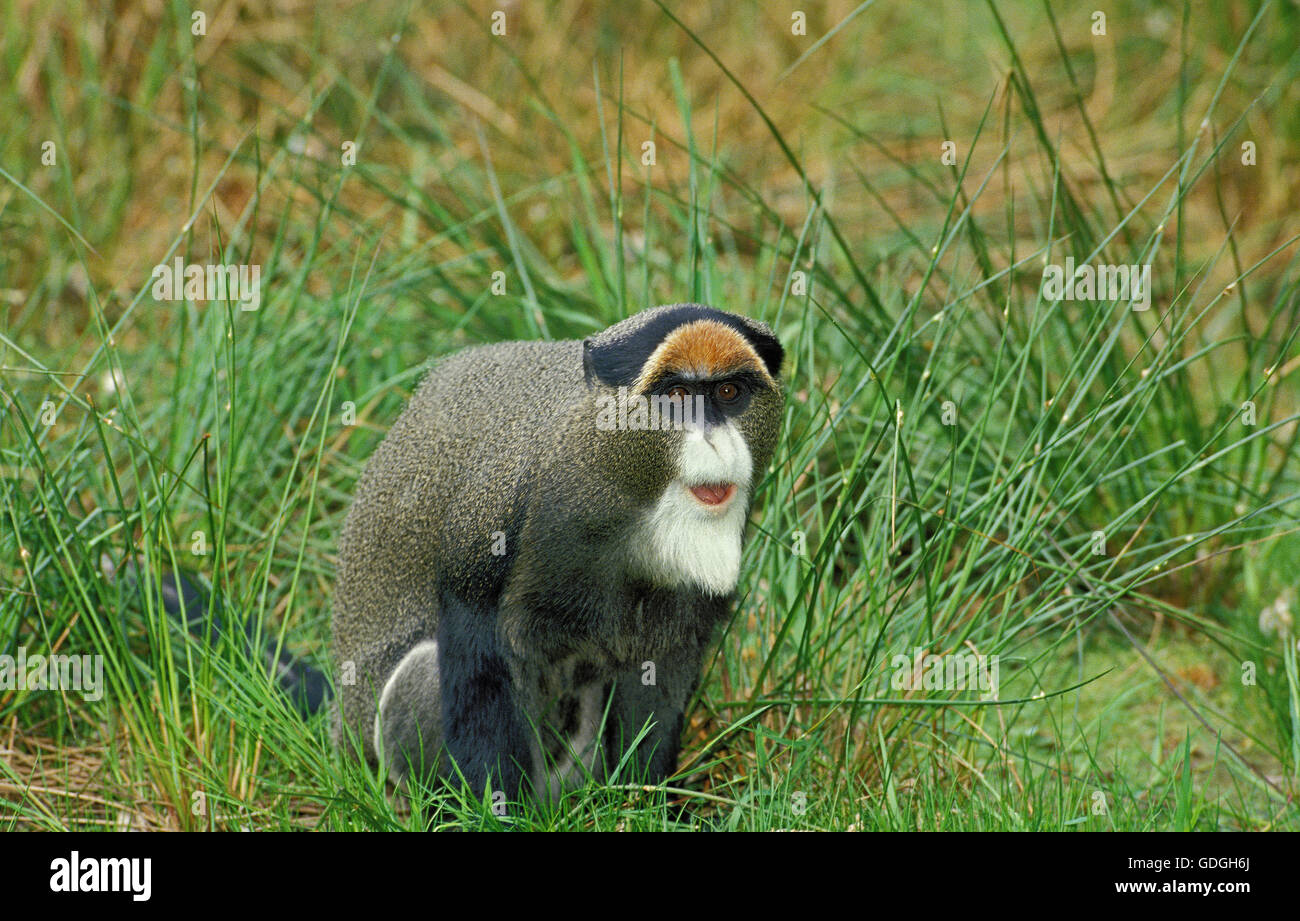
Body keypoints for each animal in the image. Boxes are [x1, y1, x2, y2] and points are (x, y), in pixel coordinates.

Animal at [331, 303, 784, 801]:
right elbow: (478, 654)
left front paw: (650, 800)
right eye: (678, 394)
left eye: (728, 391)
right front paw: (496, 811)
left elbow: (661, 667)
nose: (717, 441)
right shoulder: (488, 524)